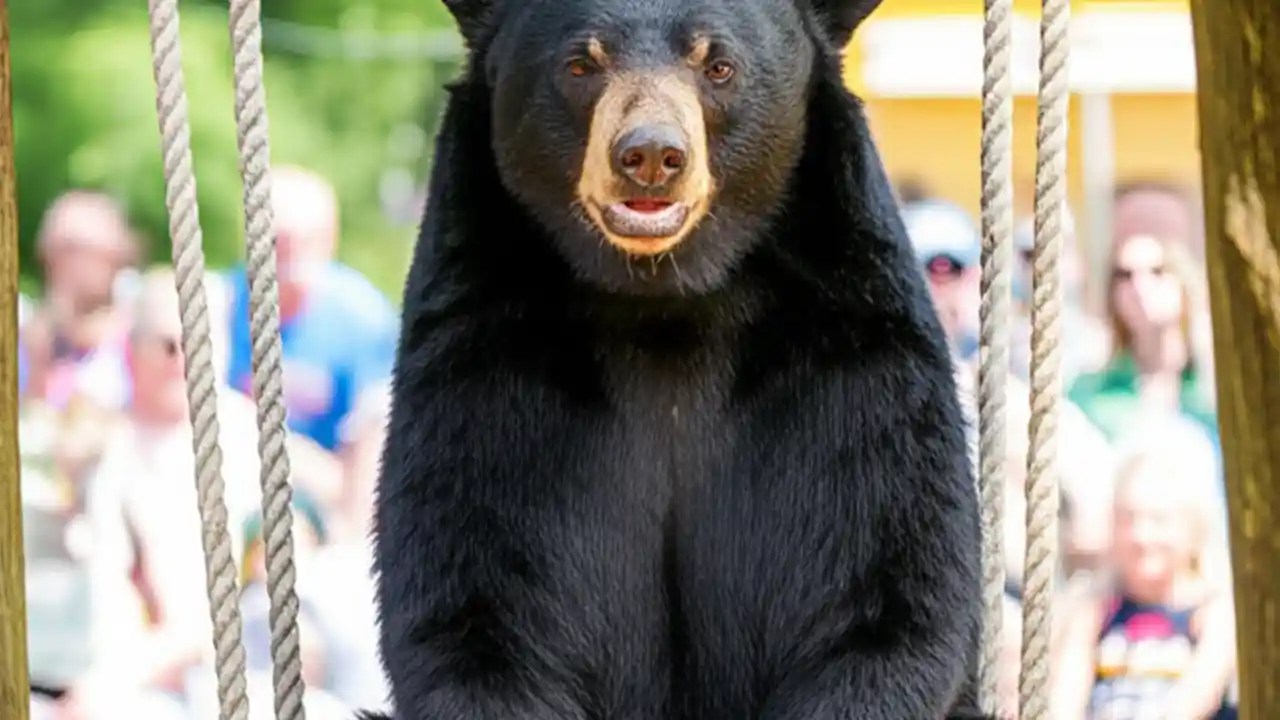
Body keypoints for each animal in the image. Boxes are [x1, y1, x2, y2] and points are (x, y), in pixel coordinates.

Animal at [365, 0, 987, 717]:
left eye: (718, 65)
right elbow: (476, 598)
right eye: (580, 64)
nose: (651, 156)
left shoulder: (848, 359)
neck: (666, 299)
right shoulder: (489, 365)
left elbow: (880, 579)